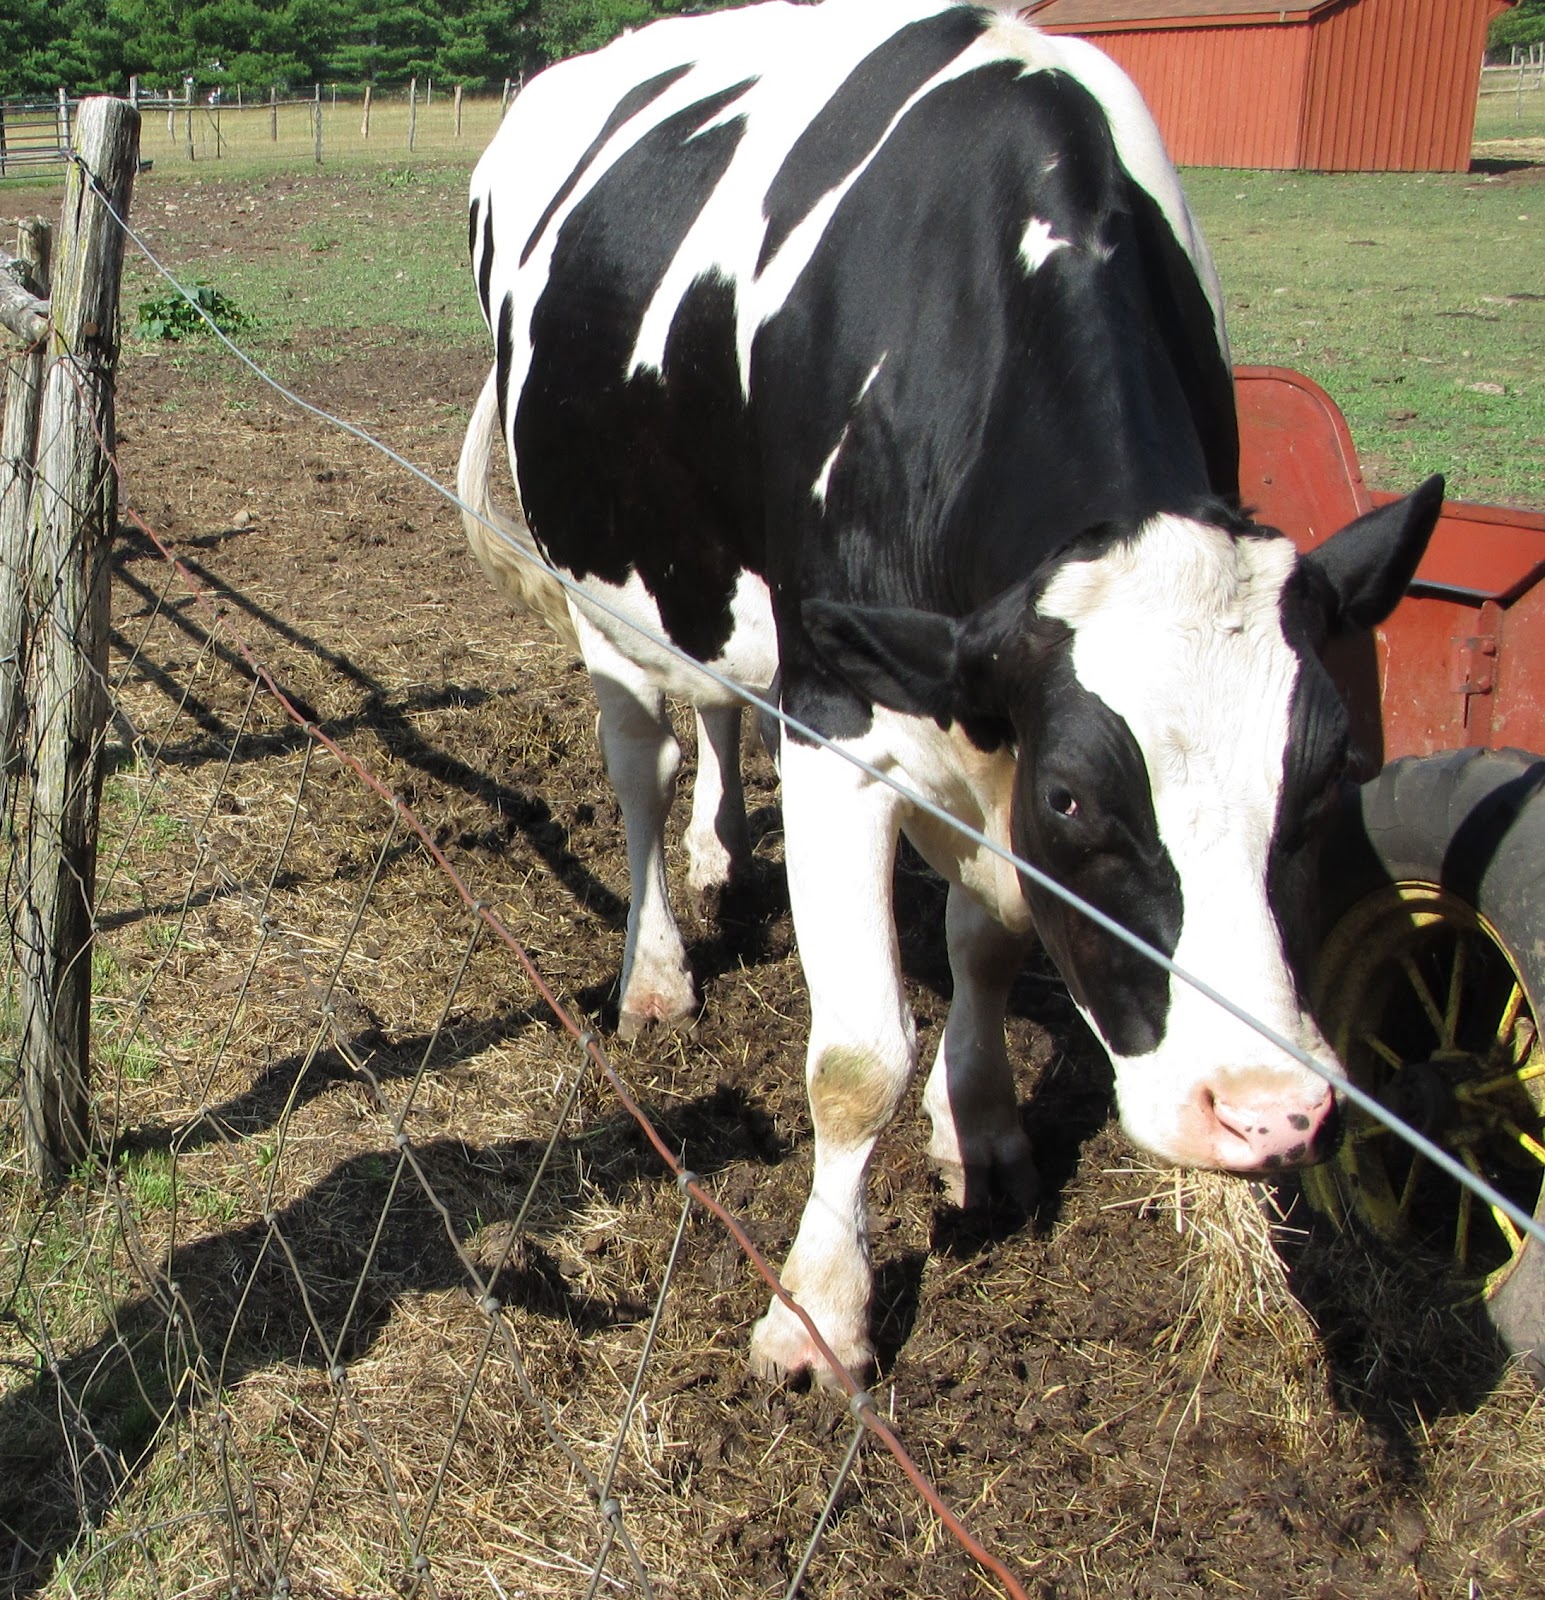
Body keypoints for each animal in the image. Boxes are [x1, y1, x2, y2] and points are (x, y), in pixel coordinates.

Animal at [457, 0, 1443, 1383]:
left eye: (1330, 774)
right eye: (1079, 800)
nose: (1265, 1113)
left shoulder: (967, 713)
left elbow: (990, 935)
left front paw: (980, 1130)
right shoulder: (838, 707)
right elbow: (854, 1059)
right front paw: (819, 1310)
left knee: (717, 711)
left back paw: (721, 854)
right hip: (601, 577)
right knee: (641, 767)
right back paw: (655, 964)